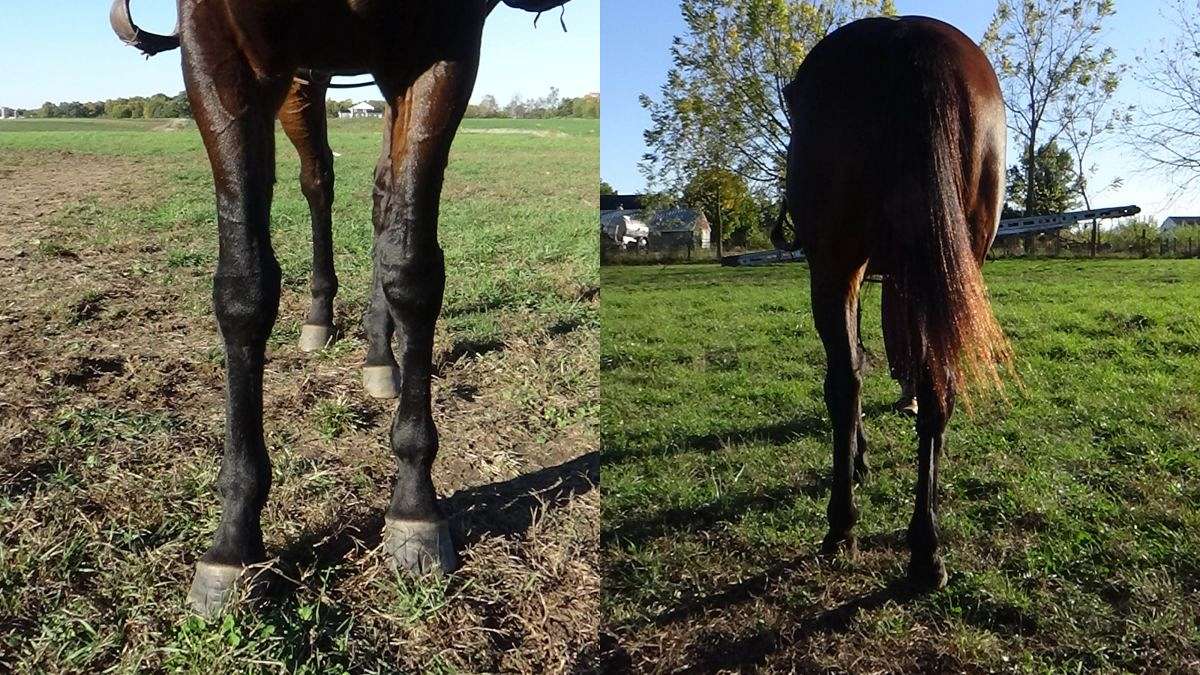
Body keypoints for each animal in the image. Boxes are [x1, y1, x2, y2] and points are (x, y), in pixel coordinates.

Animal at [110, 0, 572, 616]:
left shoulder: (438, 47)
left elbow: (411, 268)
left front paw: (415, 507)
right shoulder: (218, 43)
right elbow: (244, 288)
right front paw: (233, 540)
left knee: (384, 197)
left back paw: (379, 354)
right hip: (304, 79)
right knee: (319, 180)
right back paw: (320, 319)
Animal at [771, 16, 1011, 589]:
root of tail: (905, 44)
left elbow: (857, 361)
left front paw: (858, 458)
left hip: (835, 266)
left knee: (845, 381)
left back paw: (843, 524)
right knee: (936, 385)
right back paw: (925, 549)